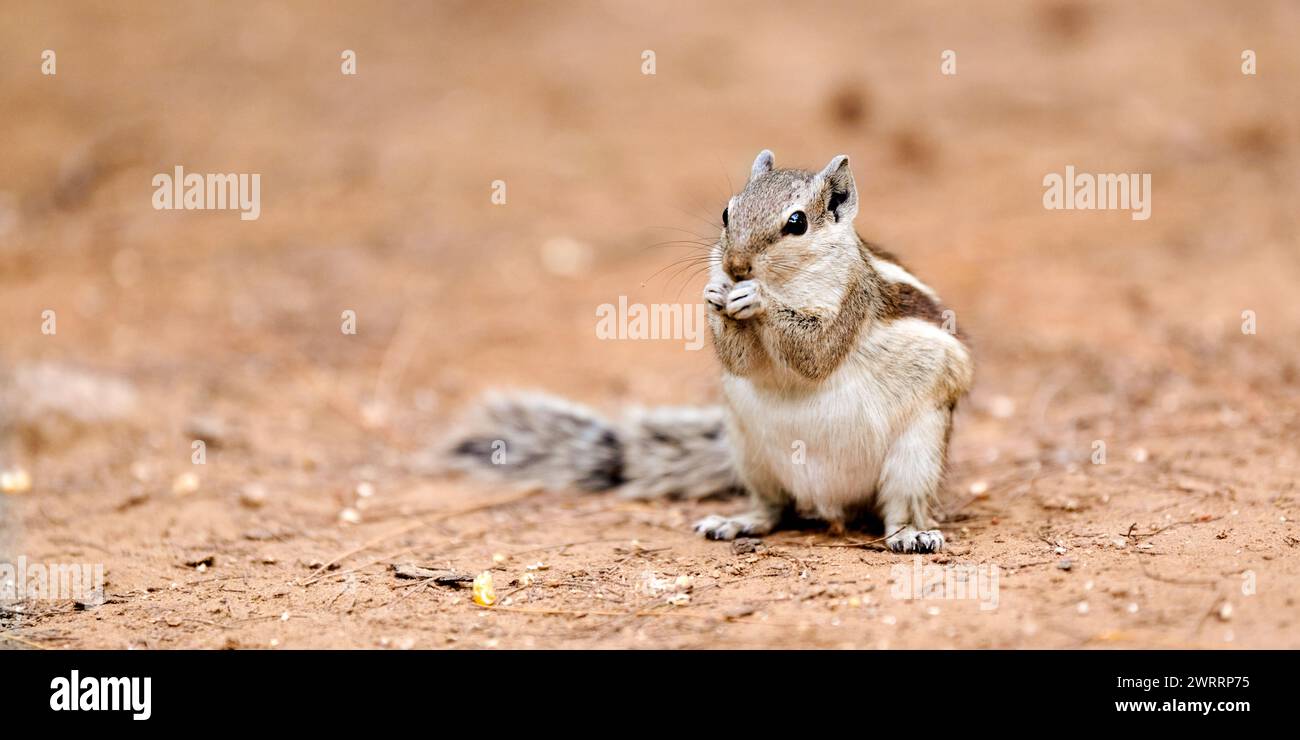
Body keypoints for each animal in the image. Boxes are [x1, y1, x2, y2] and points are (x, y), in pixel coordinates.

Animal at [447, 151, 973, 553]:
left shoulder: (850, 302)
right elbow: (741, 360)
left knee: (900, 507)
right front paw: (716, 295)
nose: (736, 266)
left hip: (916, 455)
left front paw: (757, 299)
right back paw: (736, 521)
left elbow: (815, 352)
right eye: (726, 212)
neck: (787, 280)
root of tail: (837, 503)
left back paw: (911, 534)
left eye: (797, 222)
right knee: (775, 509)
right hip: (752, 454)